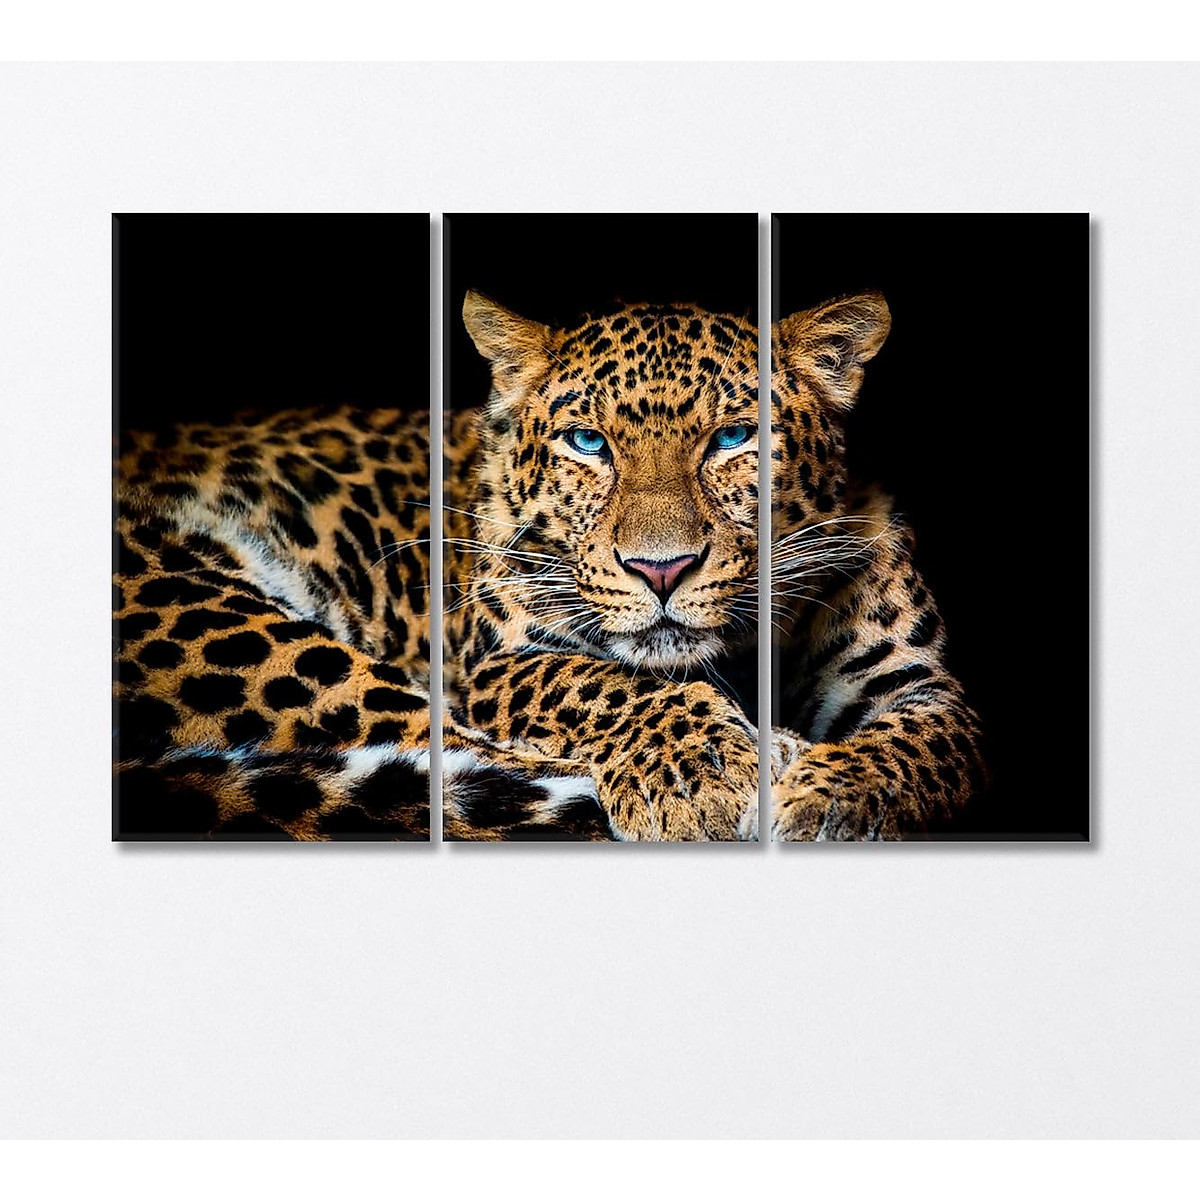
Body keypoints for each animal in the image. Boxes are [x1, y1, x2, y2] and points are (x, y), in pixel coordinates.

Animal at [445, 289, 986, 841]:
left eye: (733, 437)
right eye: (588, 443)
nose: (661, 570)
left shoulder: (918, 682)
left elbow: (907, 749)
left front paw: (829, 809)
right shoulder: (498, 661)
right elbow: (595, 683)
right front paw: (695, 775)